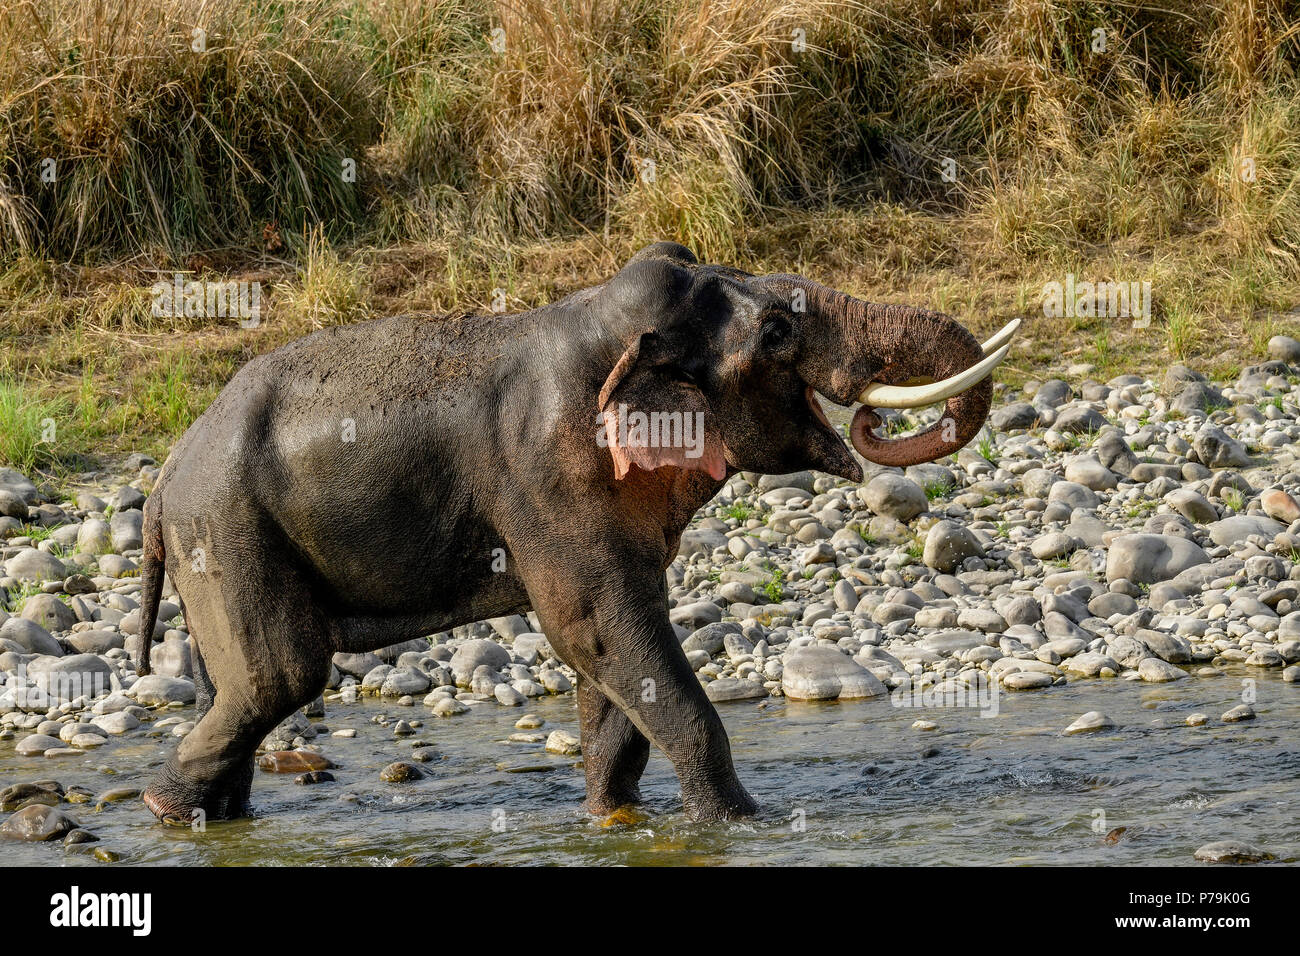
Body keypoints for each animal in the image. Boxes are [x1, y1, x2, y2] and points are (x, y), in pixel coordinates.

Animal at [135, 240, 1015, 825]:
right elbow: (596, 629)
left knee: (242, 690)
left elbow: (612, 665)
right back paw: (168, 807)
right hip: (230, 532)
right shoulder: (546, 479)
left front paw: (614, 819)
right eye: (775, 334)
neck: (597, 323)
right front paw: (739, 824)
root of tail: (164, 478)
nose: (869, 417)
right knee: (278, 676)